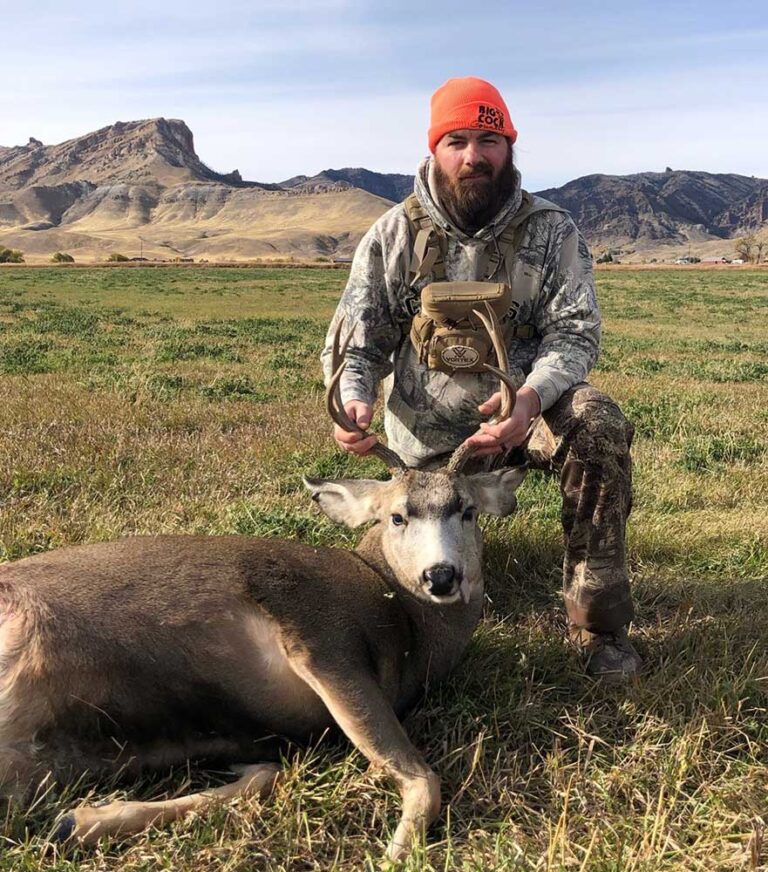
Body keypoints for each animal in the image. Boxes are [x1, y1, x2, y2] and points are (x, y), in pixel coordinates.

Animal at [0, 305, 526, 862]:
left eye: (467, 511)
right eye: (397, 516)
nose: (441, 575)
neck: (404, 623)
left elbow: (267, 773)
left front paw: (82, 820)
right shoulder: (318, 633)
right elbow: (424, 778)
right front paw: (395, 852)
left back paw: (73, 822)